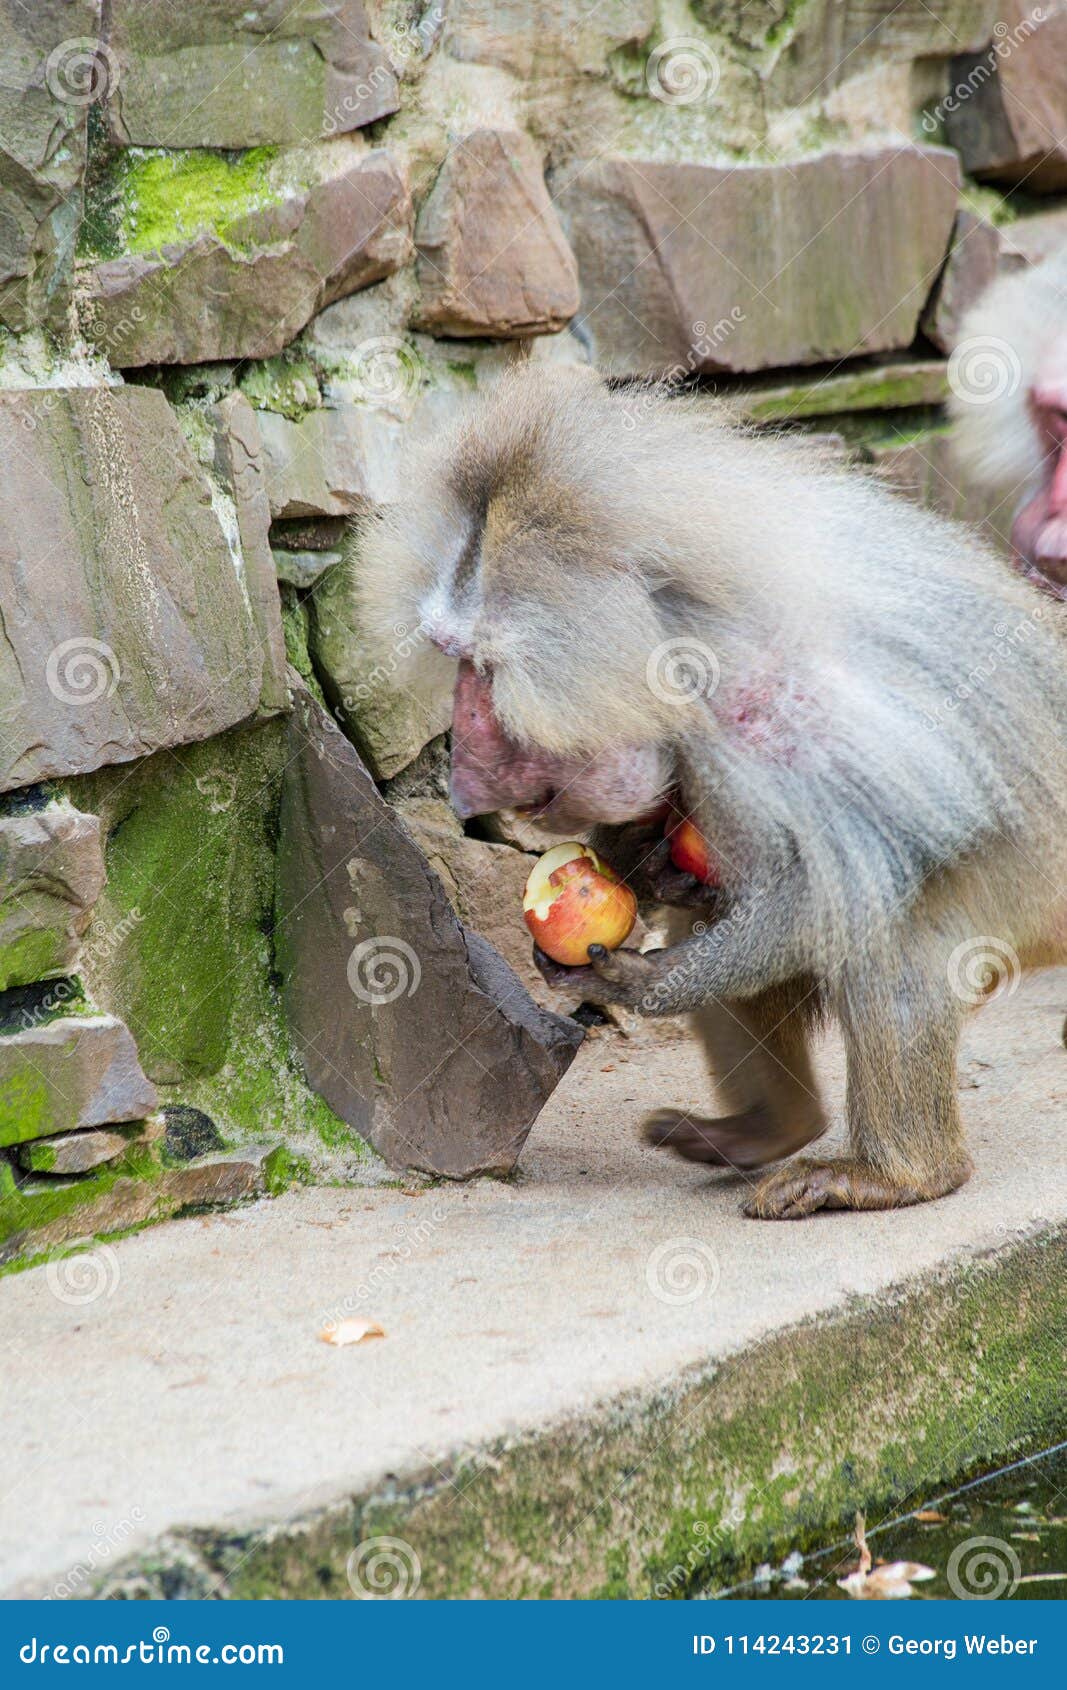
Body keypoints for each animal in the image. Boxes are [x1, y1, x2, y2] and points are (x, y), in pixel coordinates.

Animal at [357, 364, 1067, 1220]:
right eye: (450, 659)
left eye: (480, 669)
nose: (462, 767)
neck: (675, 645)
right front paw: (639, 862)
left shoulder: (758, 730)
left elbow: (810, 897)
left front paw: (633, 981)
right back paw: (768, 1129)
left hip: (1027, 896)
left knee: (886, 932)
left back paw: (897, 1176)